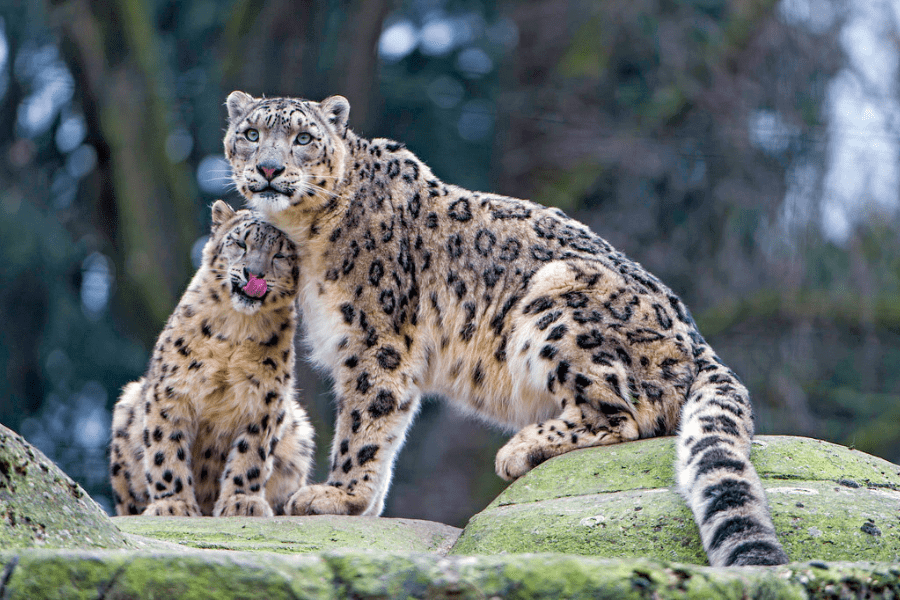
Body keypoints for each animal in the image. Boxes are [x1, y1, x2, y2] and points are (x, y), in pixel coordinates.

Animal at [109, 200, 314, 517]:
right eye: (241, 243)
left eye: (280, 255)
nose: (254, 274)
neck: (238, 329)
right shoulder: (172, 391)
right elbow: (165, 449)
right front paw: (173, 504)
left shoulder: (264, 400)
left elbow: (251, 455)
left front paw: (242, 501)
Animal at [222, 90, 789, 566]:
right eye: (250, 133)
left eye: (303, 138)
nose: (269, 167)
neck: (305, 238)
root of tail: (700, 341)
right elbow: (387, 426)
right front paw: (362, 504)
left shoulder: (376, 339)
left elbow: (367, 421)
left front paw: (336, 496)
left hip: (557, 299)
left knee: (626, 412)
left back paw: (521, 449)